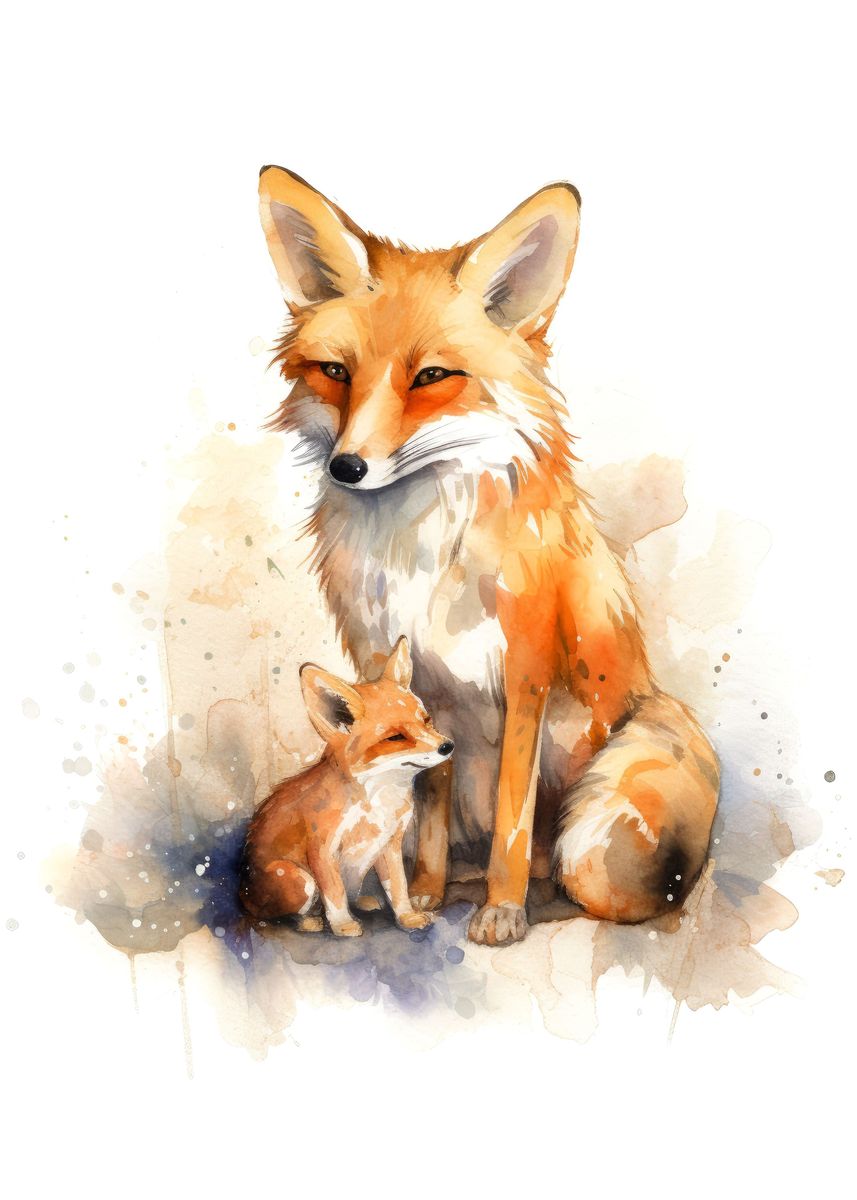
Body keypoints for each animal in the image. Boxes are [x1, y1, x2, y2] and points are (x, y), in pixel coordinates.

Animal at [240, 637, 453, 936]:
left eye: (426, 720)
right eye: (396, 737)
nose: (447, 746)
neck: (375, 802)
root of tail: (242, 892)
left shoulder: (390, 845)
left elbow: (398, 887)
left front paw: (407, 917)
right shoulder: (322, 850)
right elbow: (335, 893)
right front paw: (342, 925)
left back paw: (362, 902)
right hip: (297, 879)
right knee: (282, 913)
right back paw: (309, 922)